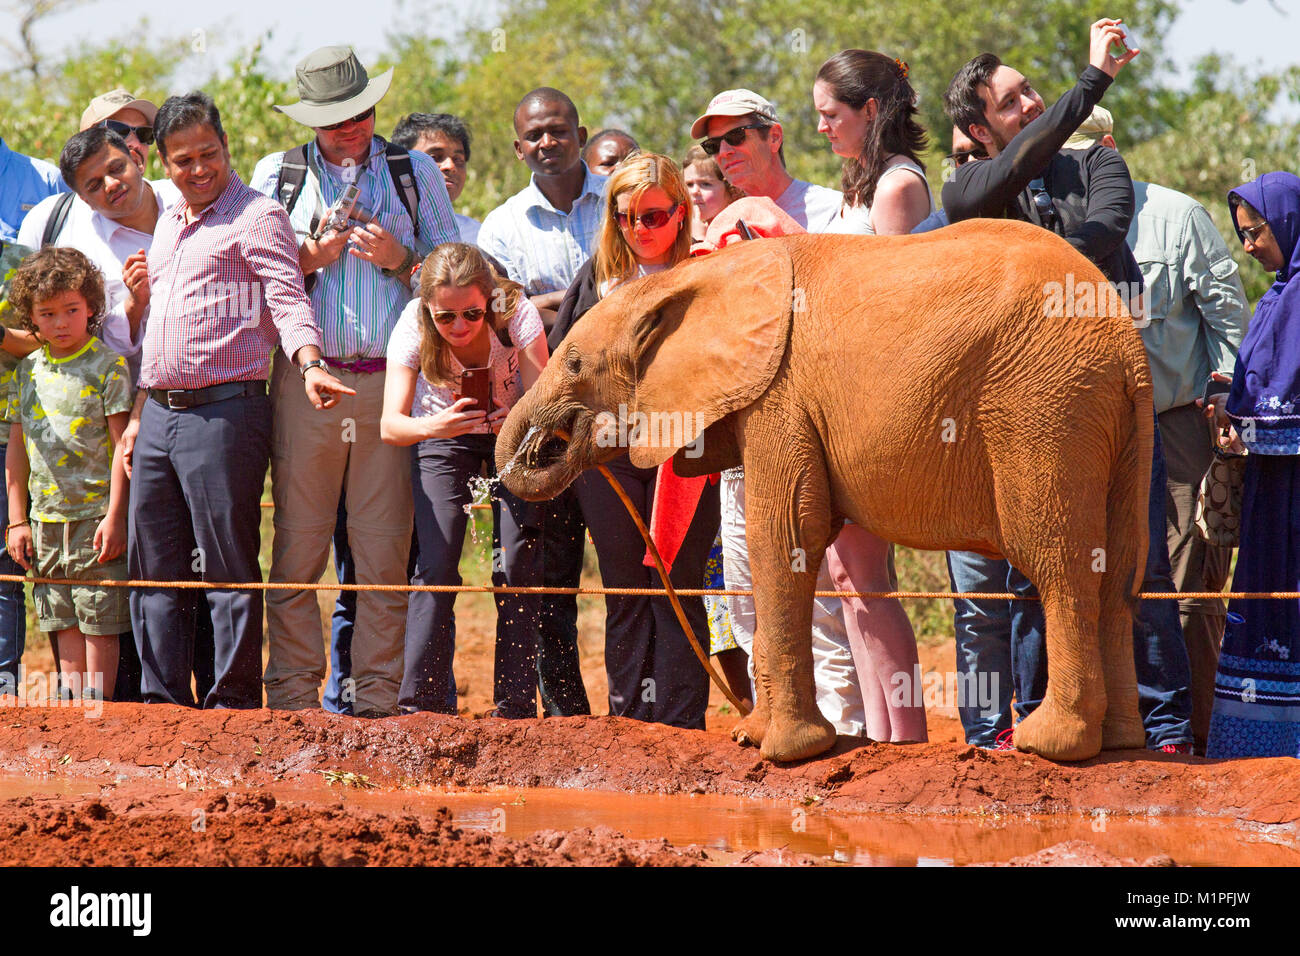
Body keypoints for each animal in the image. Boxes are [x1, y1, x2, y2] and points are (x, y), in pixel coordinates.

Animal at [496, 219, 1152, 763]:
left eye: (574, 363)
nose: (540, 448)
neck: (690, 276)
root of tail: (1129, 348)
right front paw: (749, 737)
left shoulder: (779, 395)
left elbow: (784, 537)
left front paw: (786, 752)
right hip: (1105, 419)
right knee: (1117, 569)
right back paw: (1120, 743)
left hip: (1043, 406)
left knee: (1058, 561)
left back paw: (1051, 746)